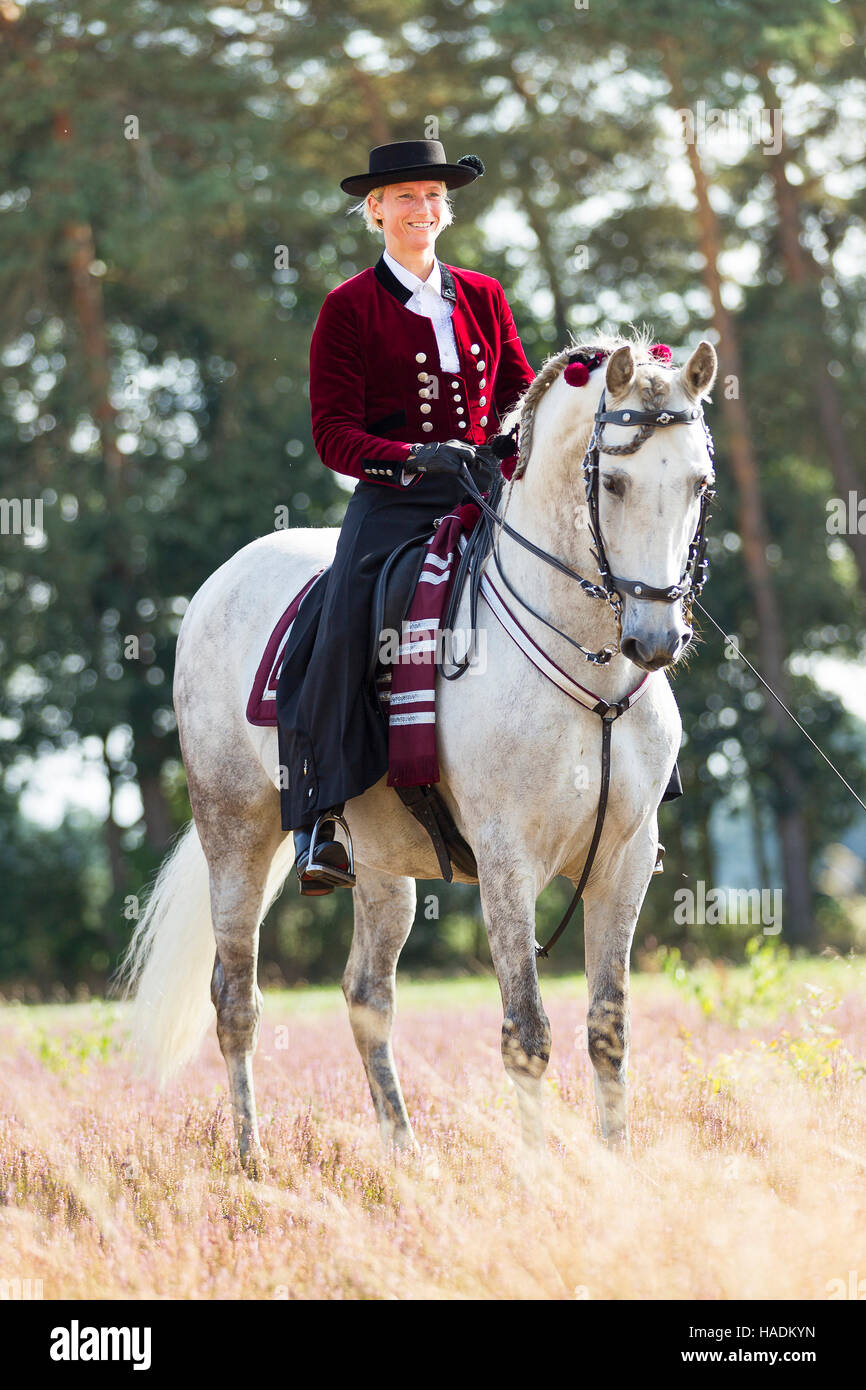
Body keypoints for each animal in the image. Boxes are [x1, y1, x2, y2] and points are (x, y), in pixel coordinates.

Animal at [121, 331, 718, 1174]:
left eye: (698, 482)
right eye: (617, 481)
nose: (657, 638)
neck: (589, 666)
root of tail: (219, 582)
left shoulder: (625, 861)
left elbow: (608, 1029)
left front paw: (615, 1166)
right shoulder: (506, 861)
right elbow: (526, 1032)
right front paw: (541, 1177)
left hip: (379, 864)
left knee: (367, 996)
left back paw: (404, 1153)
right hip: (235, 835)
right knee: (236, 1001)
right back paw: (251, 1162)